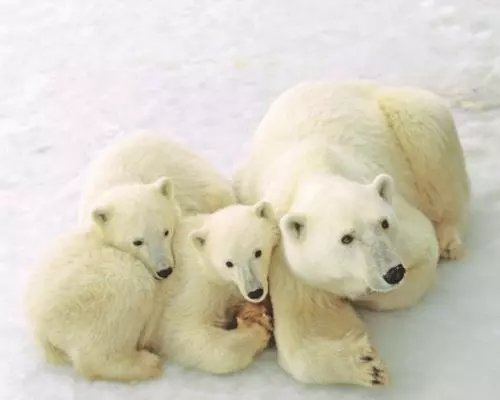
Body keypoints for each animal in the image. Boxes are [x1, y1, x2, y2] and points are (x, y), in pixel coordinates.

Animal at [24, 177, 180, 382]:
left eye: (166, 232)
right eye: (137, 241)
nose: (165, 270)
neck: (101, 237)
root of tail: (41, 330)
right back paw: (147, 364)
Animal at [147, 203, 282, 376]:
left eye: (258, 252)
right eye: (229, 263)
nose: (255, 292)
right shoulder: (194, 287)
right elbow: (181, 331)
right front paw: (257, 331)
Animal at [232, 79, 470, 386]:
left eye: (384, 223)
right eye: (346, 238)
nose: (393, 272)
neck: (314, 169)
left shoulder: (402, 229)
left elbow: (423, 252)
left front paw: (364, 296)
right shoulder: (287, 258)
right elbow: (305, 326)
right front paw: (367, 364)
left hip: (407, 117)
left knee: (429, 135)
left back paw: (450, 238)